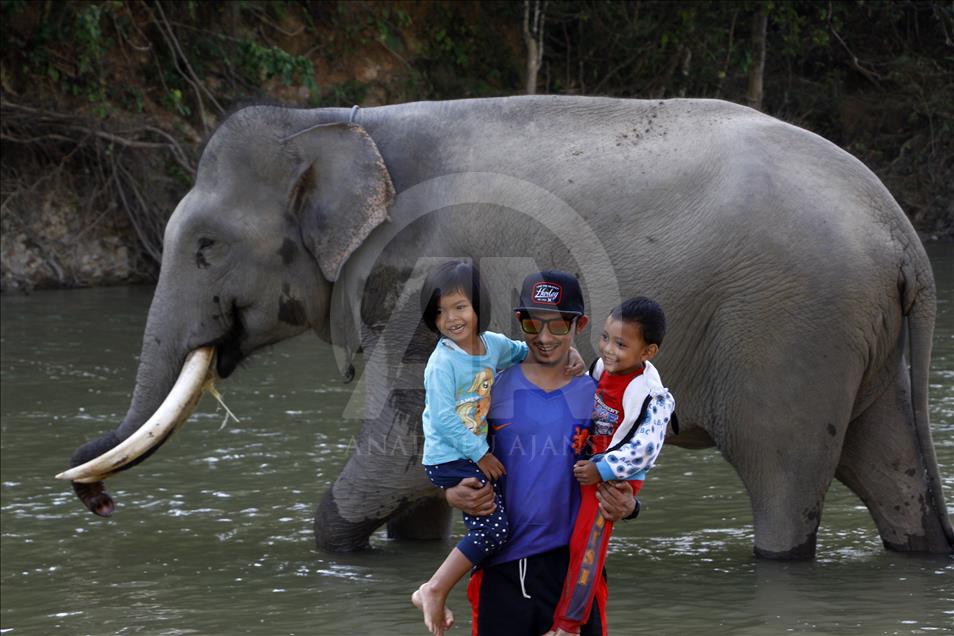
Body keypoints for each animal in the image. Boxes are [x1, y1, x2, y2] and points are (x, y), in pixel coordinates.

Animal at [60, 95, 953, 560]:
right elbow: (423, 456)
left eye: (206, 247)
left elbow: (399, 441)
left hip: (794, 337)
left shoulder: (418, 272)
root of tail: (905, 238)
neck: (342, 121)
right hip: (860, 345)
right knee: (890, 469)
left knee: (784, 482)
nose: (94, 496)